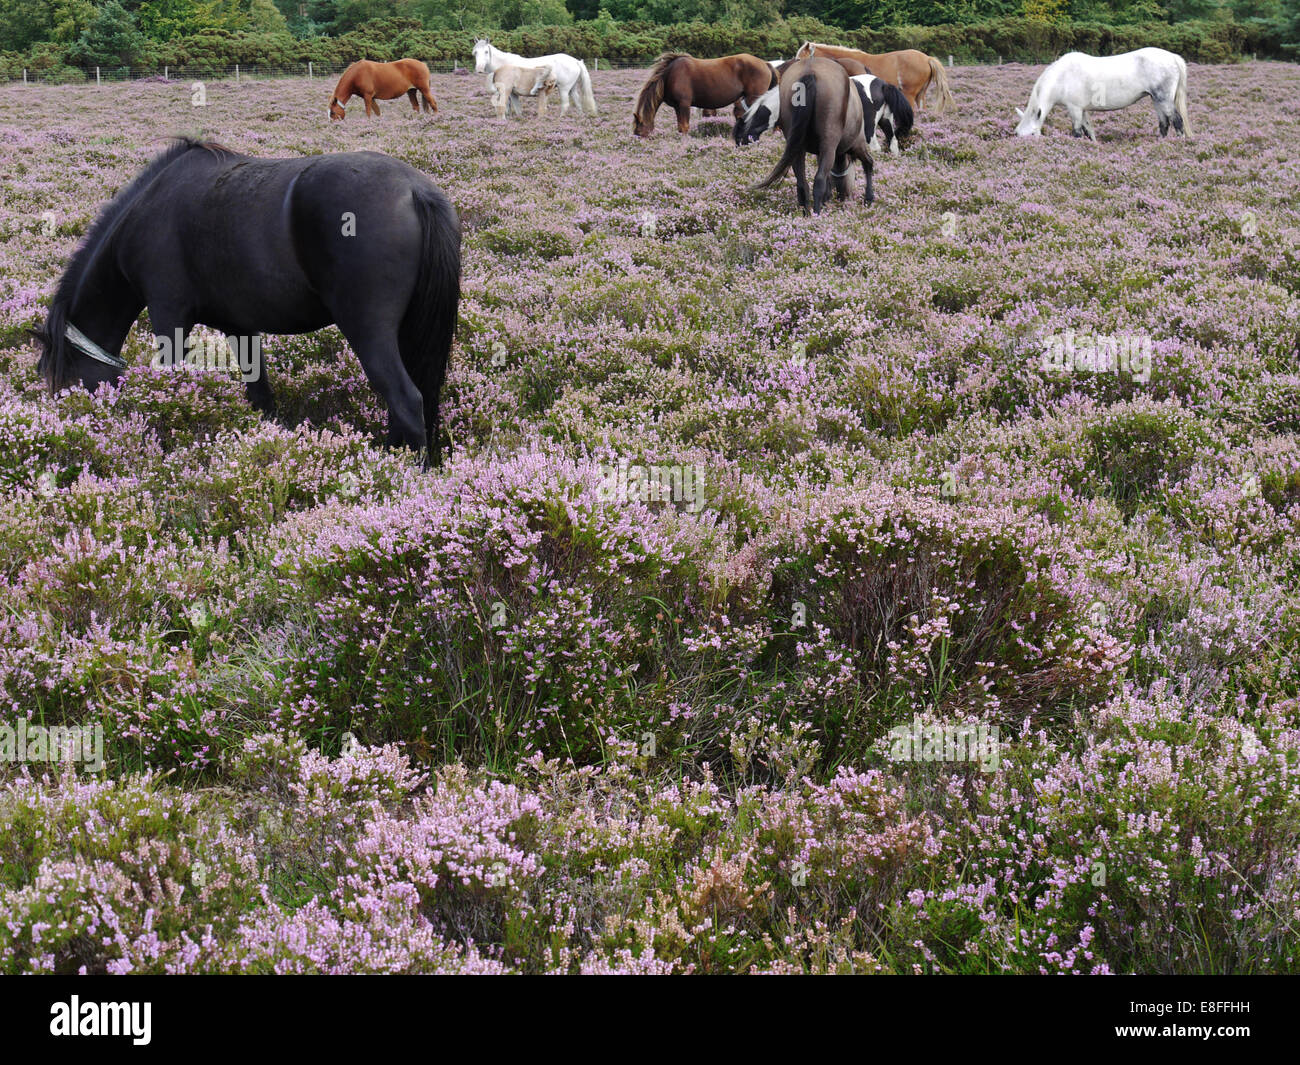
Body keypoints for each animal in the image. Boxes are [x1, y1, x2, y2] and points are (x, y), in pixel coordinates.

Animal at [35, 139, 461, 465]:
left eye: (63, 383)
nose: (69, 426)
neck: (144, 213)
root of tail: (414, 191)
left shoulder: (168, 317)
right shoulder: (239, 328)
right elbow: (260, 395)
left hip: (367, 330)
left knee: (405, 400)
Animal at [633, 52, 777, 136]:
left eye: (639, 133)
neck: (669, 75)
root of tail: (765, 63)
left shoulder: (684, 104)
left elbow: (684, 127)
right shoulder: (677, 107)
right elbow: (680, 127)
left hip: (754, 98)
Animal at [753, 56, 875, 214]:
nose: (844, 197)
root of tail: (810, 70)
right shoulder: (856, 144)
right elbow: (868, 162)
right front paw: (869, 197)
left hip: (796, 146)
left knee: (802, 182)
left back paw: (806, 213)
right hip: (829, 144)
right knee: (819, 179)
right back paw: (817, 214)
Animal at [1014, 48, 1190, 140]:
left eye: (1031, 134)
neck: (1062, 77)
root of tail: (1173, 57)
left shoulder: (1074, 109)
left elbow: (1077, 132)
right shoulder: (1082, 110)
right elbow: (1089, 131)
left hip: (1164, 100)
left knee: (1177, 121)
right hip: (1157, 100)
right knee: (1164, 123)